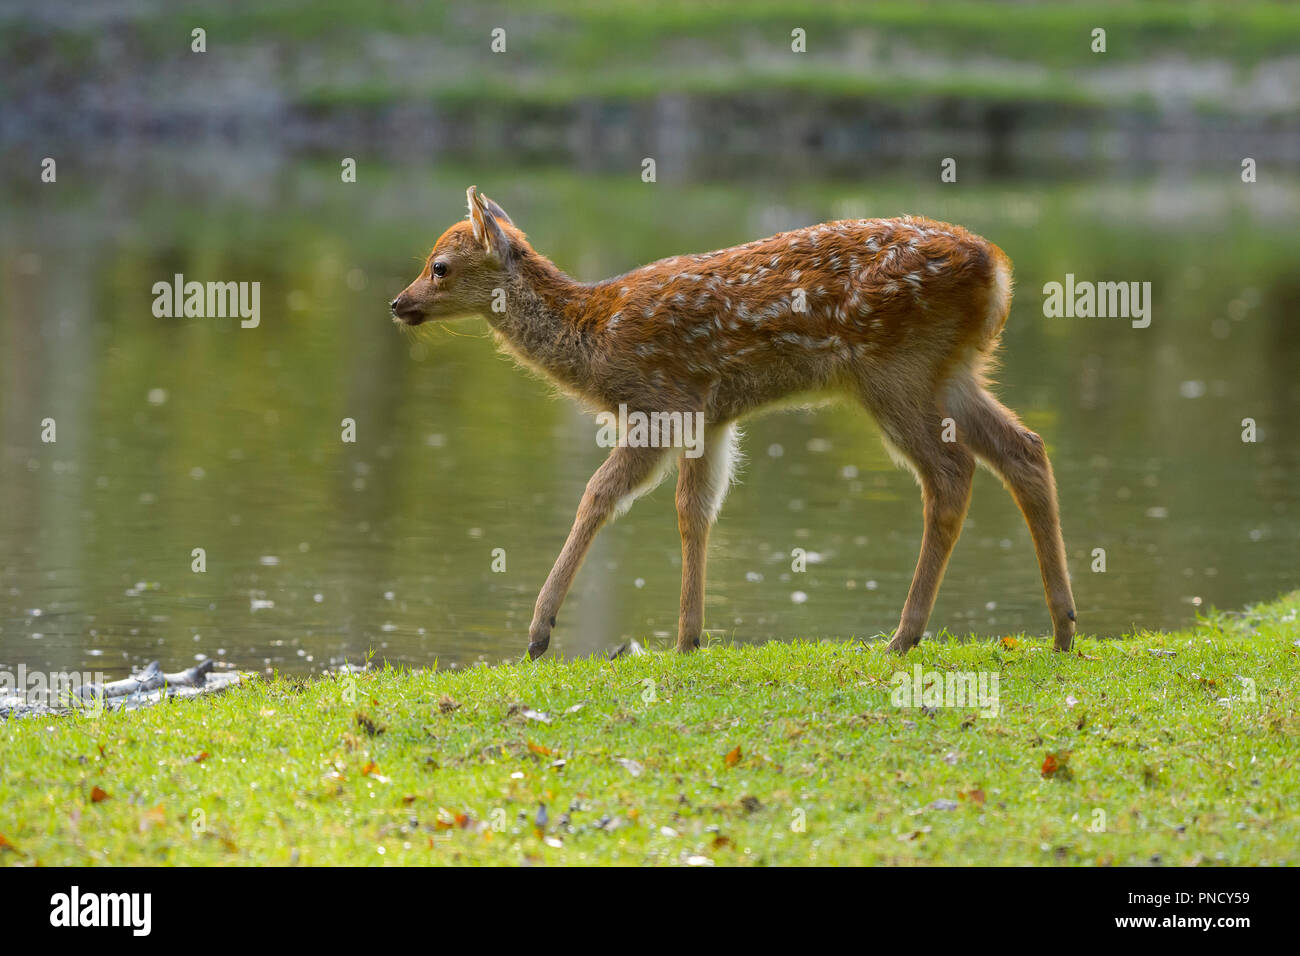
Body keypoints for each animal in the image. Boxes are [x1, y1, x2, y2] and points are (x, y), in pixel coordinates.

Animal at [390, 187, 1076, 660]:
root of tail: (996, 270)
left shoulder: (660, 405)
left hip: (894, 370)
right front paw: (689, 638)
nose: (398, 303)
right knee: (1025, 448)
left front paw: (539, 634)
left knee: (951, 474)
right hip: (949, 372)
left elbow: (599, 495)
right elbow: (695, 511)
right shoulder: (711, 418)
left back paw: (903, 637)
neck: (594, 336)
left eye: (439, 266)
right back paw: (1063, 628)